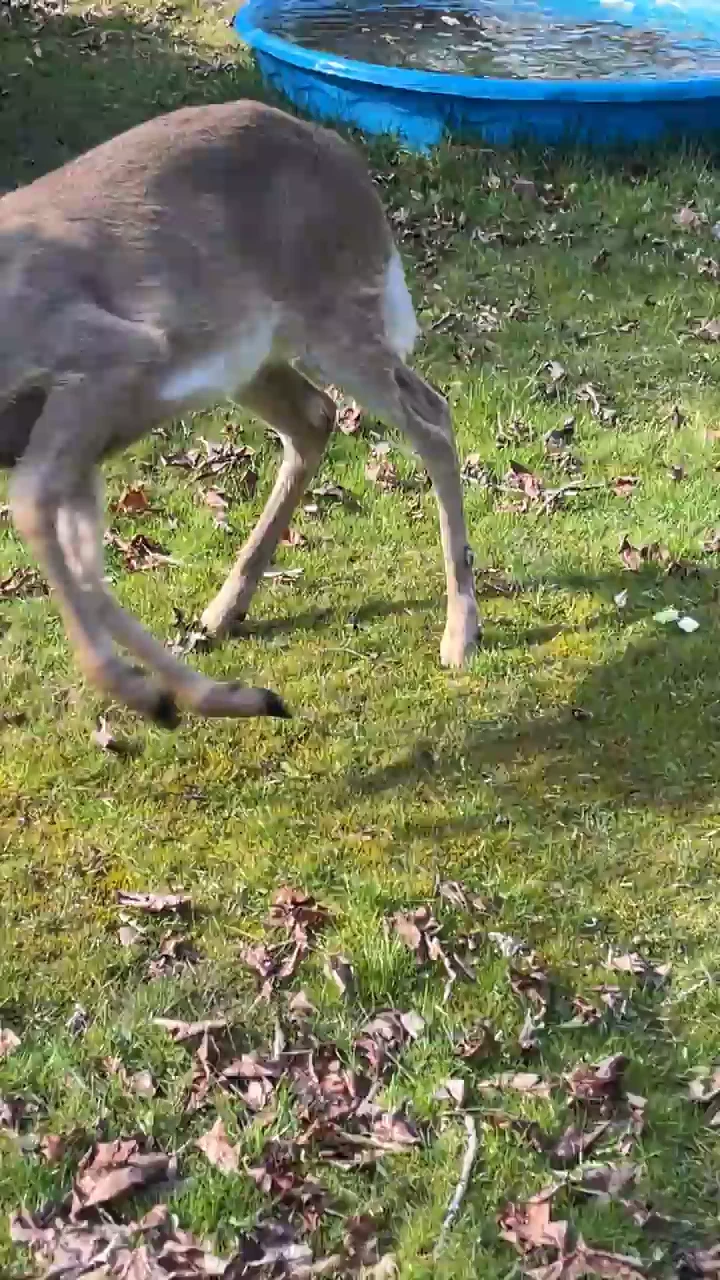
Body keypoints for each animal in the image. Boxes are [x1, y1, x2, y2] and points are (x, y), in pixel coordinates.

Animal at [0, 99, 479, 728]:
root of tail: (344, 157)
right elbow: (83, 565)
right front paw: (192, 696)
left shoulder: (108, 354)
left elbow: (33, 510)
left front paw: (152, 694)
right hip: (251, 355)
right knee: (316, 415)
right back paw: (222, 613)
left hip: (332, 318)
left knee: (430, 415)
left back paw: (461, 631)